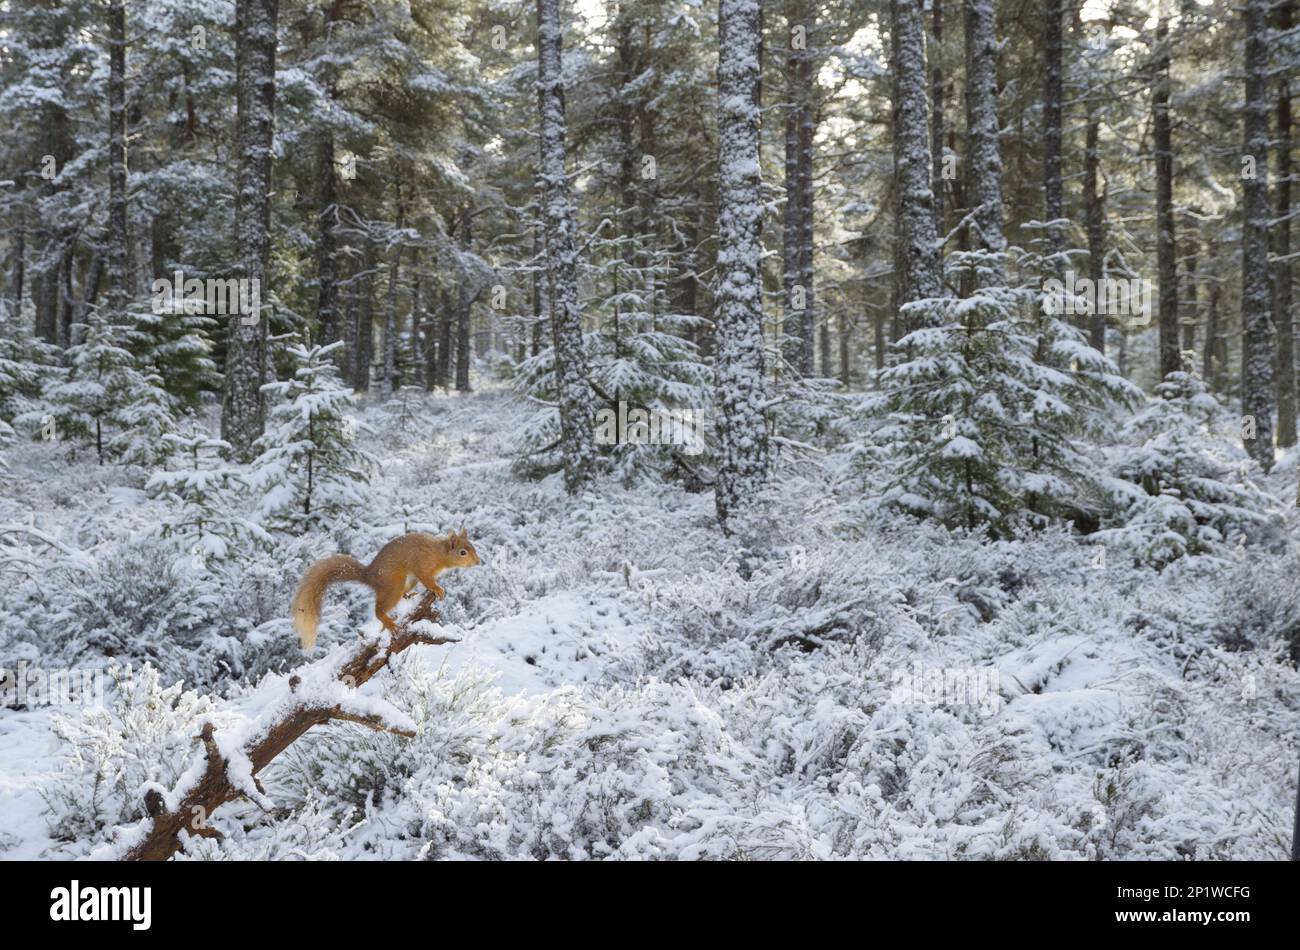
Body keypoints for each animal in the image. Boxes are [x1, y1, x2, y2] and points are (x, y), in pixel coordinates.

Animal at [291, 529, 481, 649]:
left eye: (473, 547)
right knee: (379, 610)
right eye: (463, 552)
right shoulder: (423, 565)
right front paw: (438, 589)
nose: (478, 562)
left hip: (404, 582)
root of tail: (370, 576)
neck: (439, 553)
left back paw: (409, 595)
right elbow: (427, 580)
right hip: (393, 585)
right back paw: (389, 622)